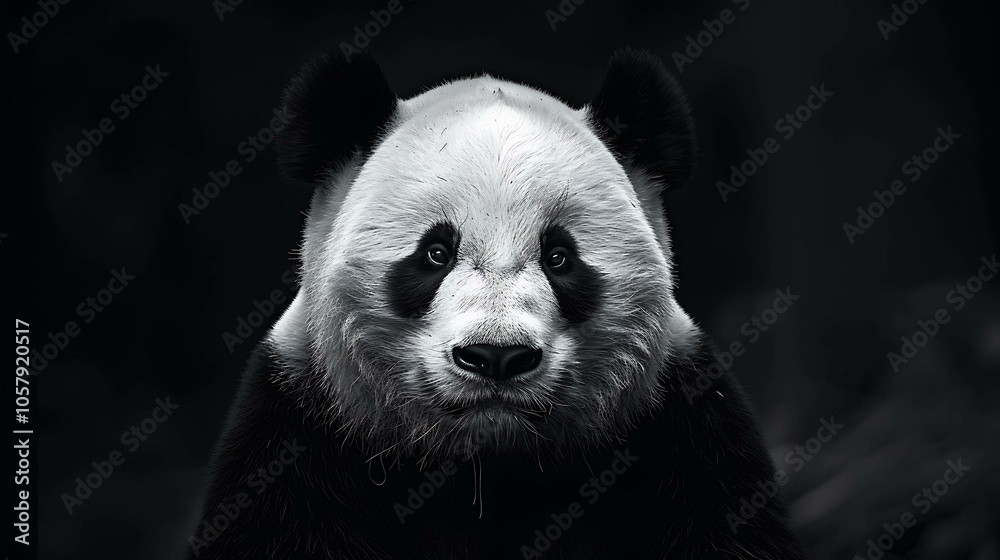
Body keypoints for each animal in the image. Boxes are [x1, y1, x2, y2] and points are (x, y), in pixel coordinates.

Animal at [187, 48, 809, 559]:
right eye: (435, 253)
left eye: (560, 257)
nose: (496, 357)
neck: (488, 466)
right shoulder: (298, 431)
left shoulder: (683, 428)